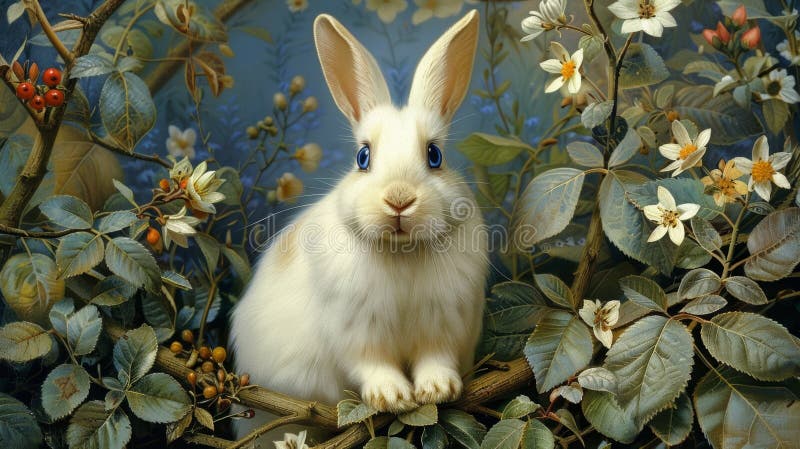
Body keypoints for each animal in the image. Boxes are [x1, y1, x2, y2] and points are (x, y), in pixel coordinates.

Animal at [229, 10, 487, 442]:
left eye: (435, 155)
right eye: (363, 157)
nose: (398, 199)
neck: (400, 252)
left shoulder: (443, 327)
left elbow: (436, 359)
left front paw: (438, 390)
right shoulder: (357, 332)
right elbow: (372, 365)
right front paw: (392, 397)